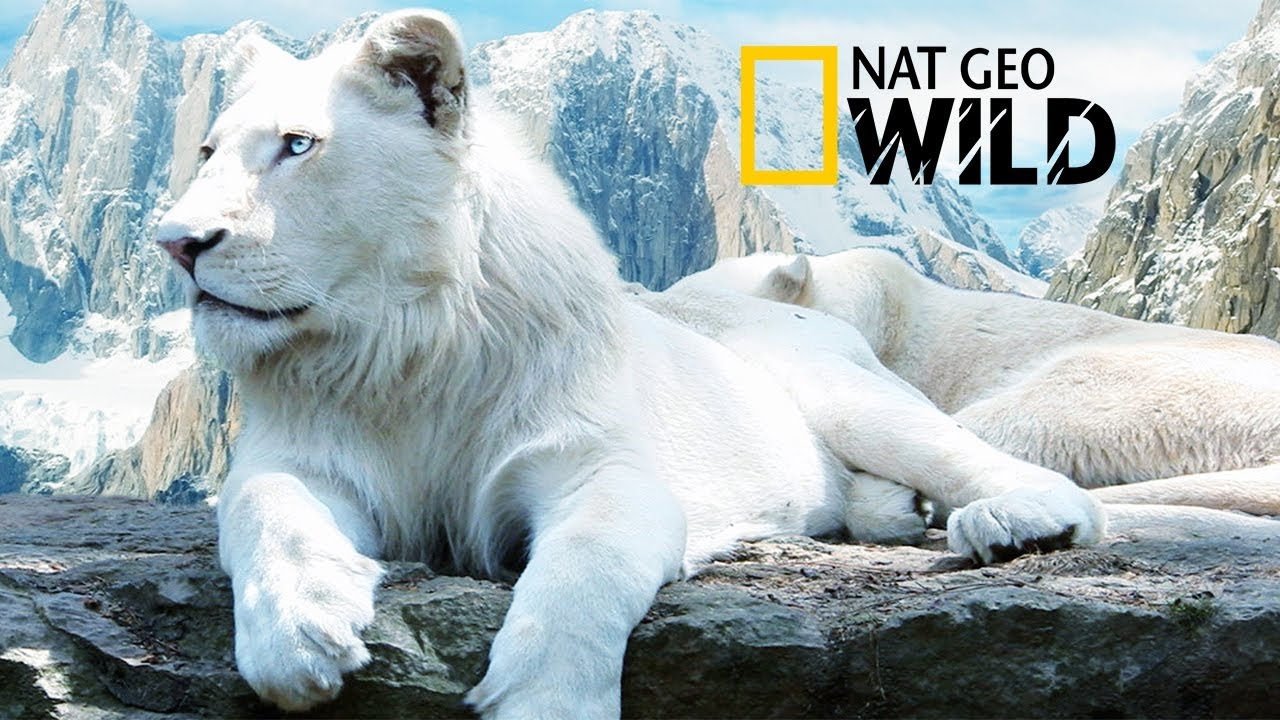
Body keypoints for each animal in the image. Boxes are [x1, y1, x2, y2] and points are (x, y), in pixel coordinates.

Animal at [154, 11, 1103, 717]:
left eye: (298, 145)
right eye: (206, 152)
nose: (176, 243)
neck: (402, 344)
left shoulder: (598, 465)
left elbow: (585, 570)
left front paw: (544, 705)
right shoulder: (300, 458)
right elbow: (267, 509)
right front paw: (300, 635)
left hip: (846, 393)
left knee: (1007, 471)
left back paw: (1014, 521)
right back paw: (891, 514)